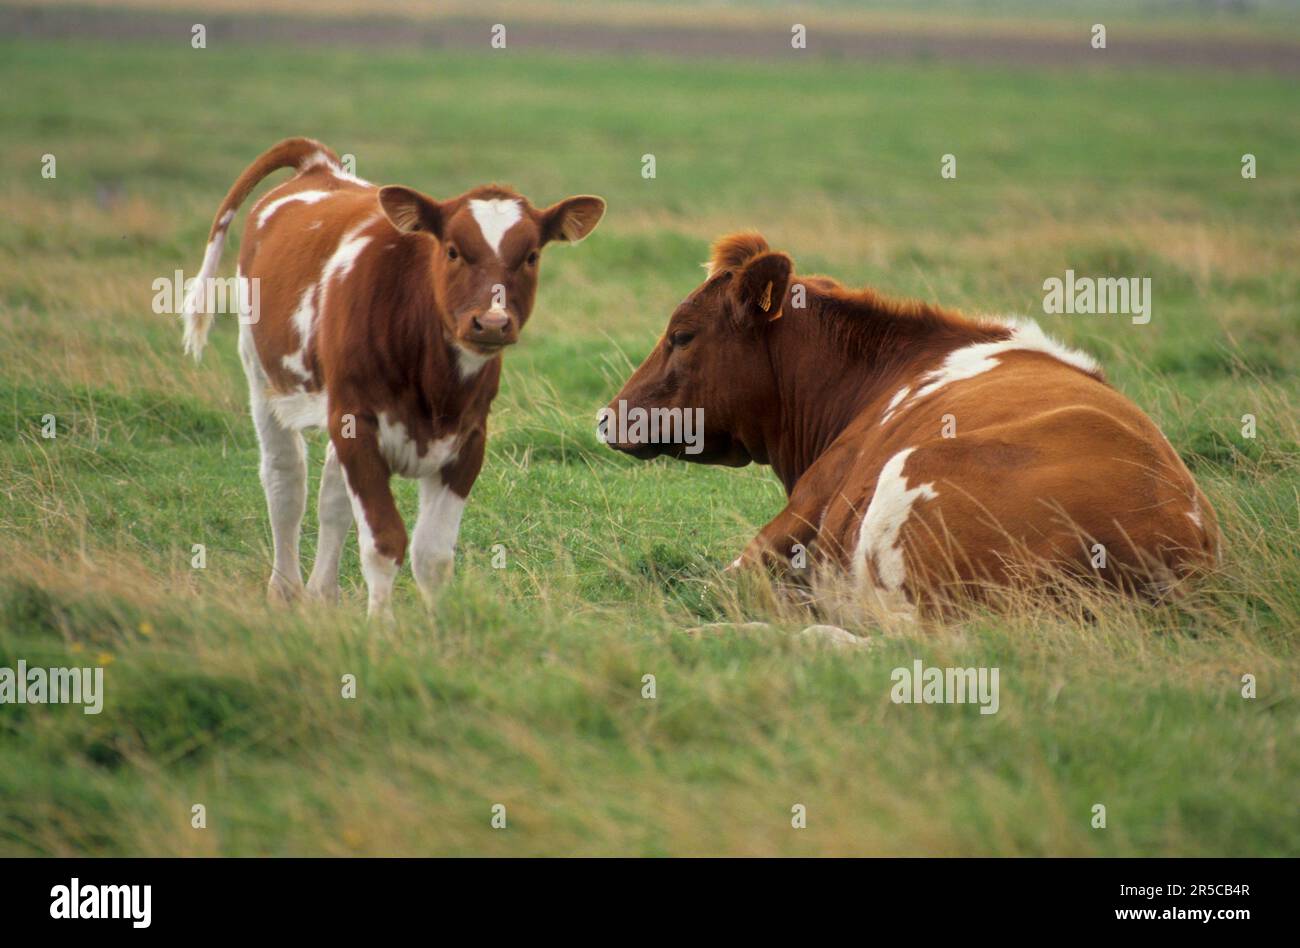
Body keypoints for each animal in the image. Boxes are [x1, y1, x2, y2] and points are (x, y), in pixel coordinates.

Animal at [181, 138, 605, 618]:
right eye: (453, 250)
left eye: (531, 256)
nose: (493, 323)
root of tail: (319, 166)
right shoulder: (357, 423)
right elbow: (384, 542)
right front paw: (381, 625)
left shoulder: (468, 439)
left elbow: (432, 555)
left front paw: (437, 625)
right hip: (262, 377)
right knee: (285, 482)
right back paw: (285, 588)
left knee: (331, 497)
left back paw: (322, 592)